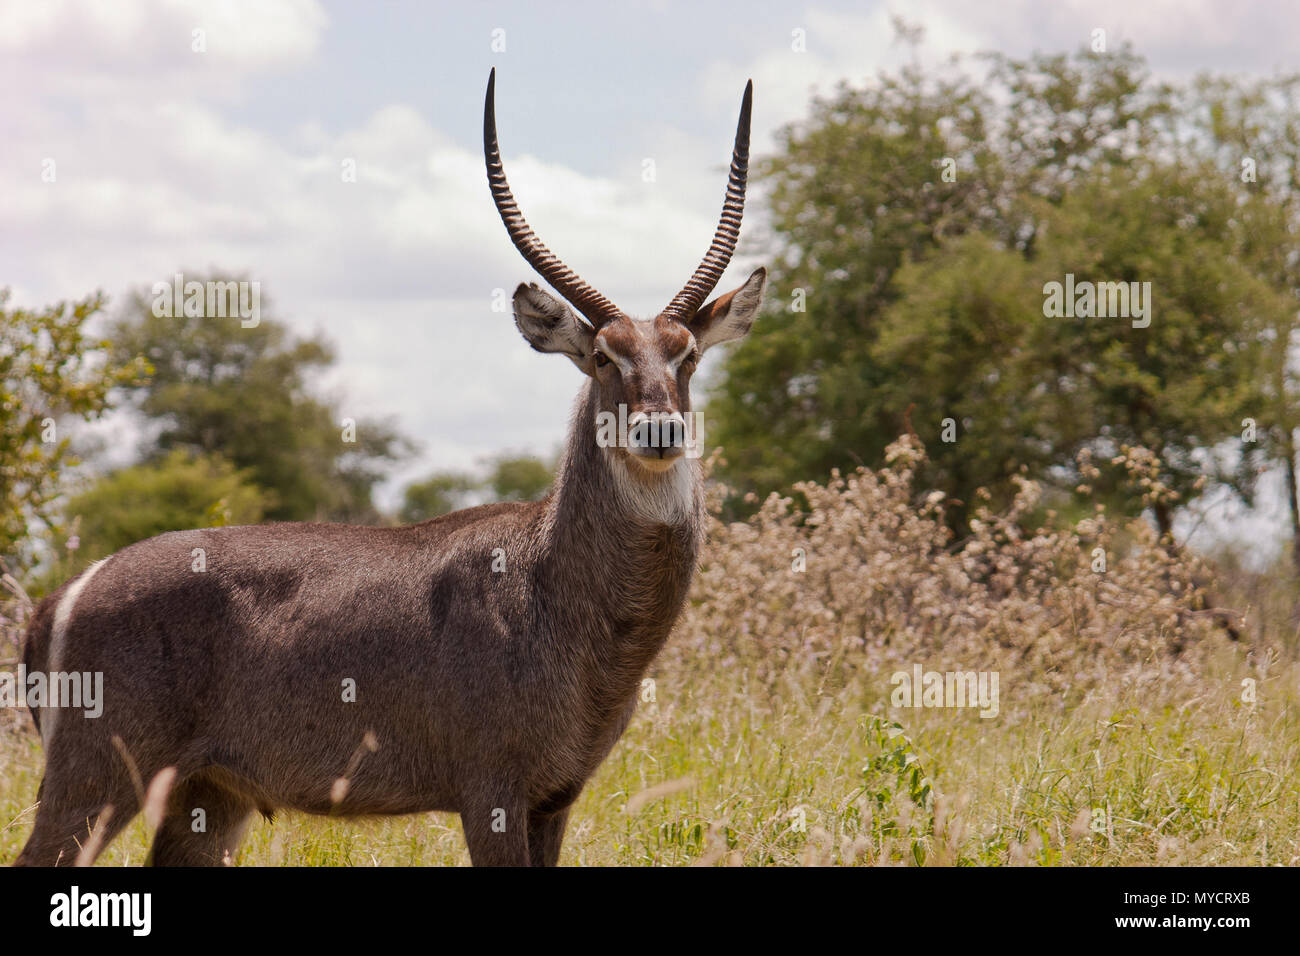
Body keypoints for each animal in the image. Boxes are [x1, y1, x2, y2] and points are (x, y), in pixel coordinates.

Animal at [14, 69, 765, 867]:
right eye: (602, 355)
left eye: (688, 354)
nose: (660, 427)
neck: (555, 586)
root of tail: (56, 599)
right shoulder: (491, 791)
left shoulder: (557, 799)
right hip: (94, 780)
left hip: (207, 792)